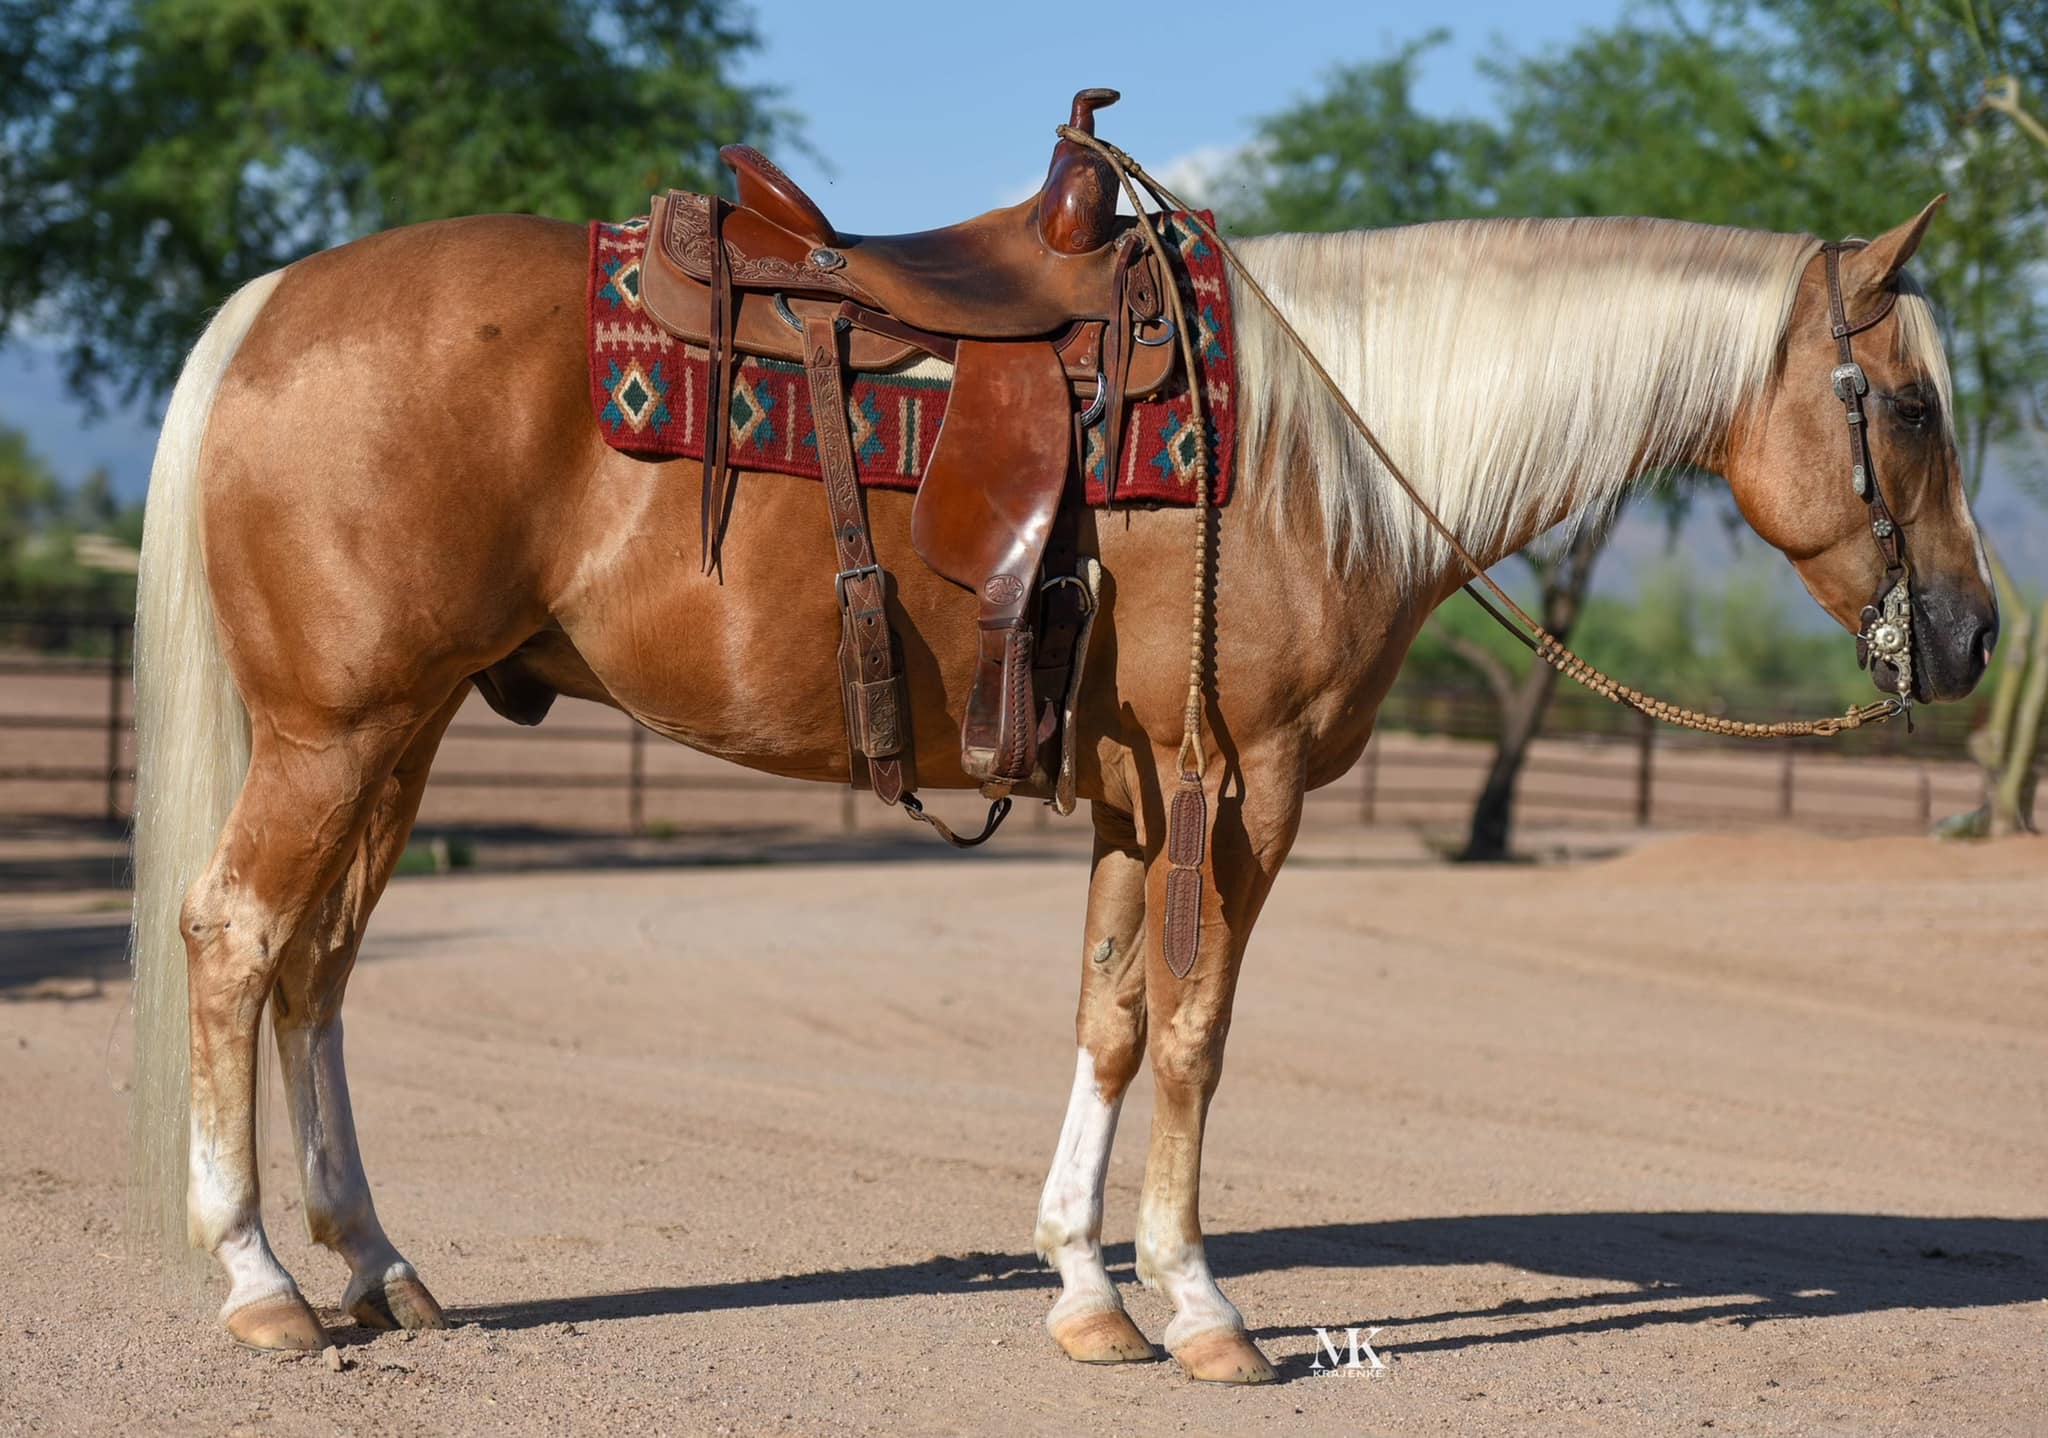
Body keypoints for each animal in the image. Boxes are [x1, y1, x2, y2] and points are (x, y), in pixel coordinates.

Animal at [126, 195, 1995, 1383]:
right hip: (337, 725)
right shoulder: (1240, 787)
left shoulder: (1131, 801)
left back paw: (376, 1264)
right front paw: (1204, 1307)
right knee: (235, 936)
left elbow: (1106, 1017)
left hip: (402, 726)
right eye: (1905, 404)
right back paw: (262, 1281)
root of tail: (275, 303)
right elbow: (1195, 1029)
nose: (1976, 633)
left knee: (318, 969)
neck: (1321, 446)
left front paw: (1089, 1291)